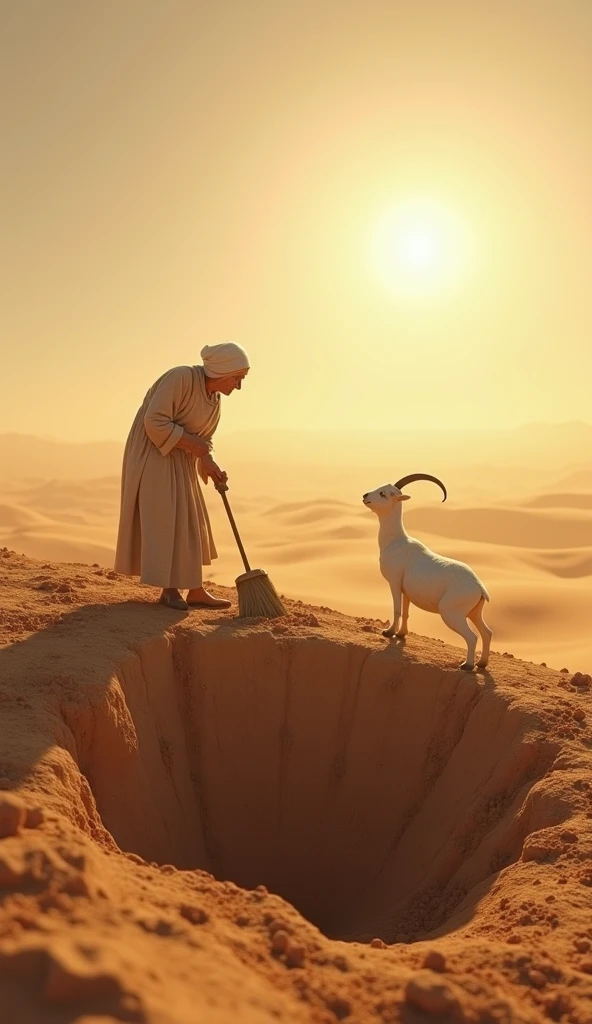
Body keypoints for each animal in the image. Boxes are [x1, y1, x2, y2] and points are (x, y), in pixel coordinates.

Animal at [363, 473, 492, 671]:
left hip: (451, 614)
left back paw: (467, 665)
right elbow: (406, 611)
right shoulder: (406, 591)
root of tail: (478, 587)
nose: (365, 496)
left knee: (472, 636)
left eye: (383, 494)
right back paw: (482, 663)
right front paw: (401, 634)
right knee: (487, 633)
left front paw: (389, 632)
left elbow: (397, 609)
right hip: (474, 613)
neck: (396, 542)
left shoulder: (394, 583)